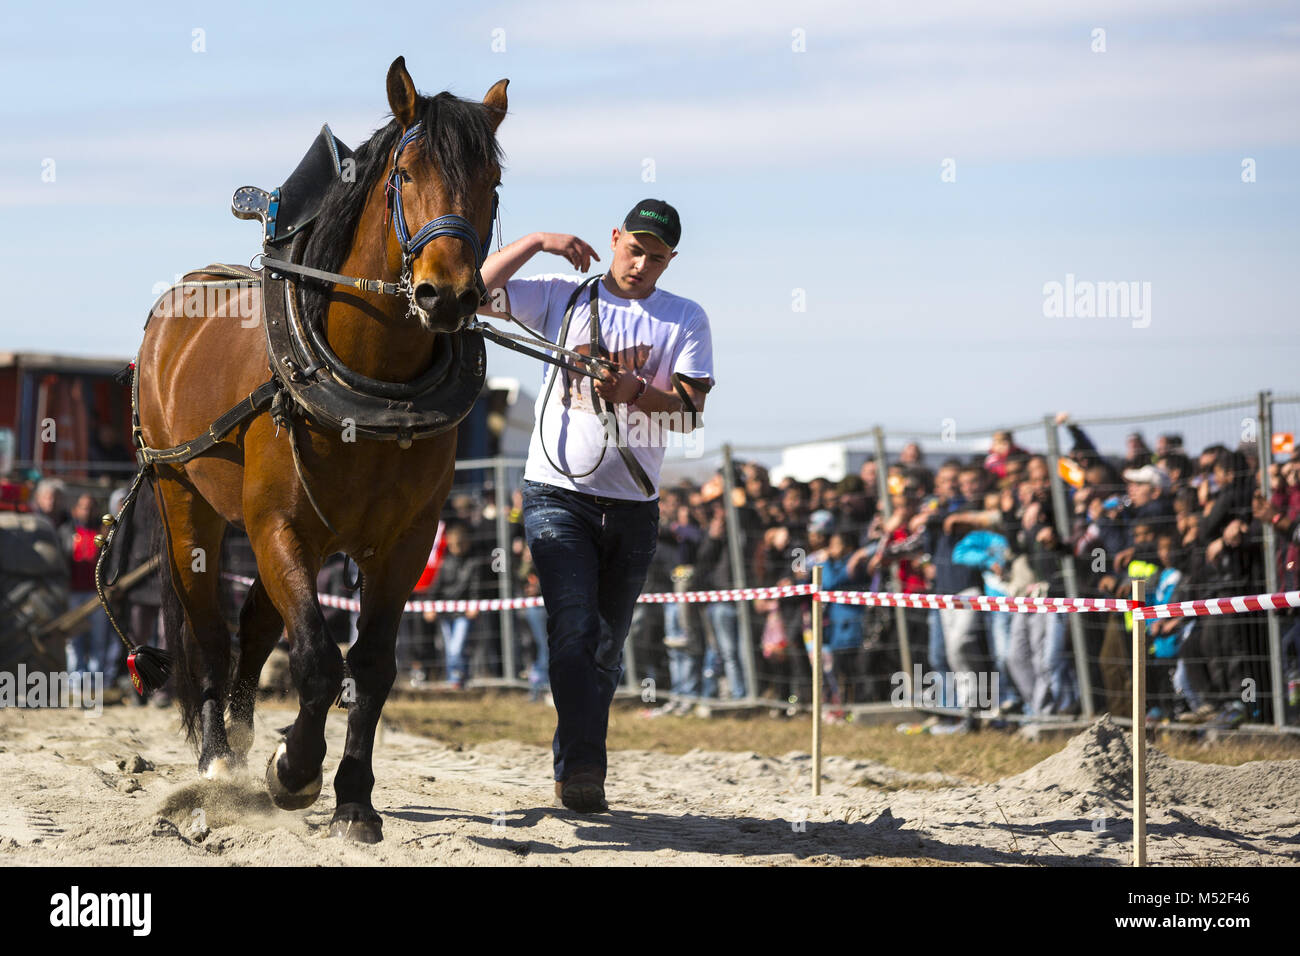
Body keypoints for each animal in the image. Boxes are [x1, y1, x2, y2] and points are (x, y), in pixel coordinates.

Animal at [135, 57, 507, 842]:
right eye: (406, 172)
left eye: (490, 179)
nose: (448, 295)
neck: (374, 382)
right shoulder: (281, 524)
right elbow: (314, 658)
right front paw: (295, 771)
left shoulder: (405, 542)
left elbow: (372, 666)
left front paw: (354, 798)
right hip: (185, 502)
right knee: (210, 632)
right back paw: (218, 760)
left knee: (253, 626)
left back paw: (243, 738)